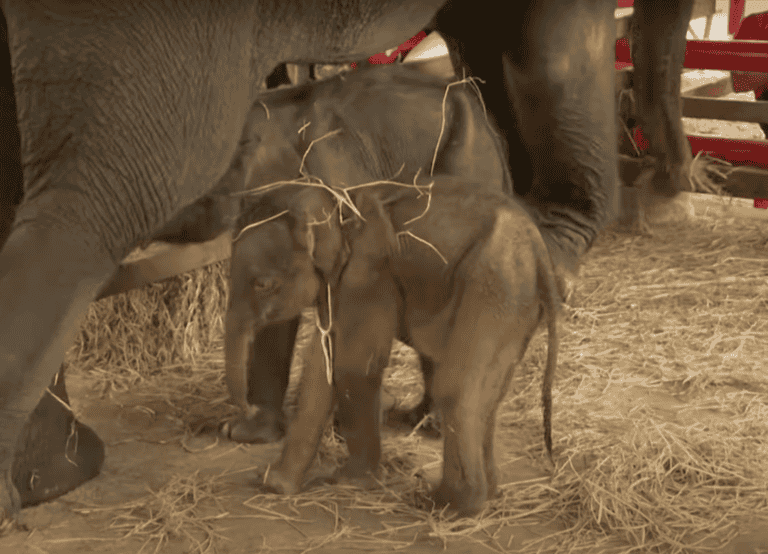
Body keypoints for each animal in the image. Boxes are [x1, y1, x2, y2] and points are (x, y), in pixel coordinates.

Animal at [225, 176, 560, 517]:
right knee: (489, 393)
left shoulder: (368, 275)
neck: (337, 203)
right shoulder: (339, 285)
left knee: (456, 388)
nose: (241, 417)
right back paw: (488, 496)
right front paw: (274, 484)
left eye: (263, 285)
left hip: (494, 284)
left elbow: (353, 366)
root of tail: (539, 250)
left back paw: (447, 505)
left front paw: (349, 483)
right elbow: (321, 368)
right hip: (516, 305)